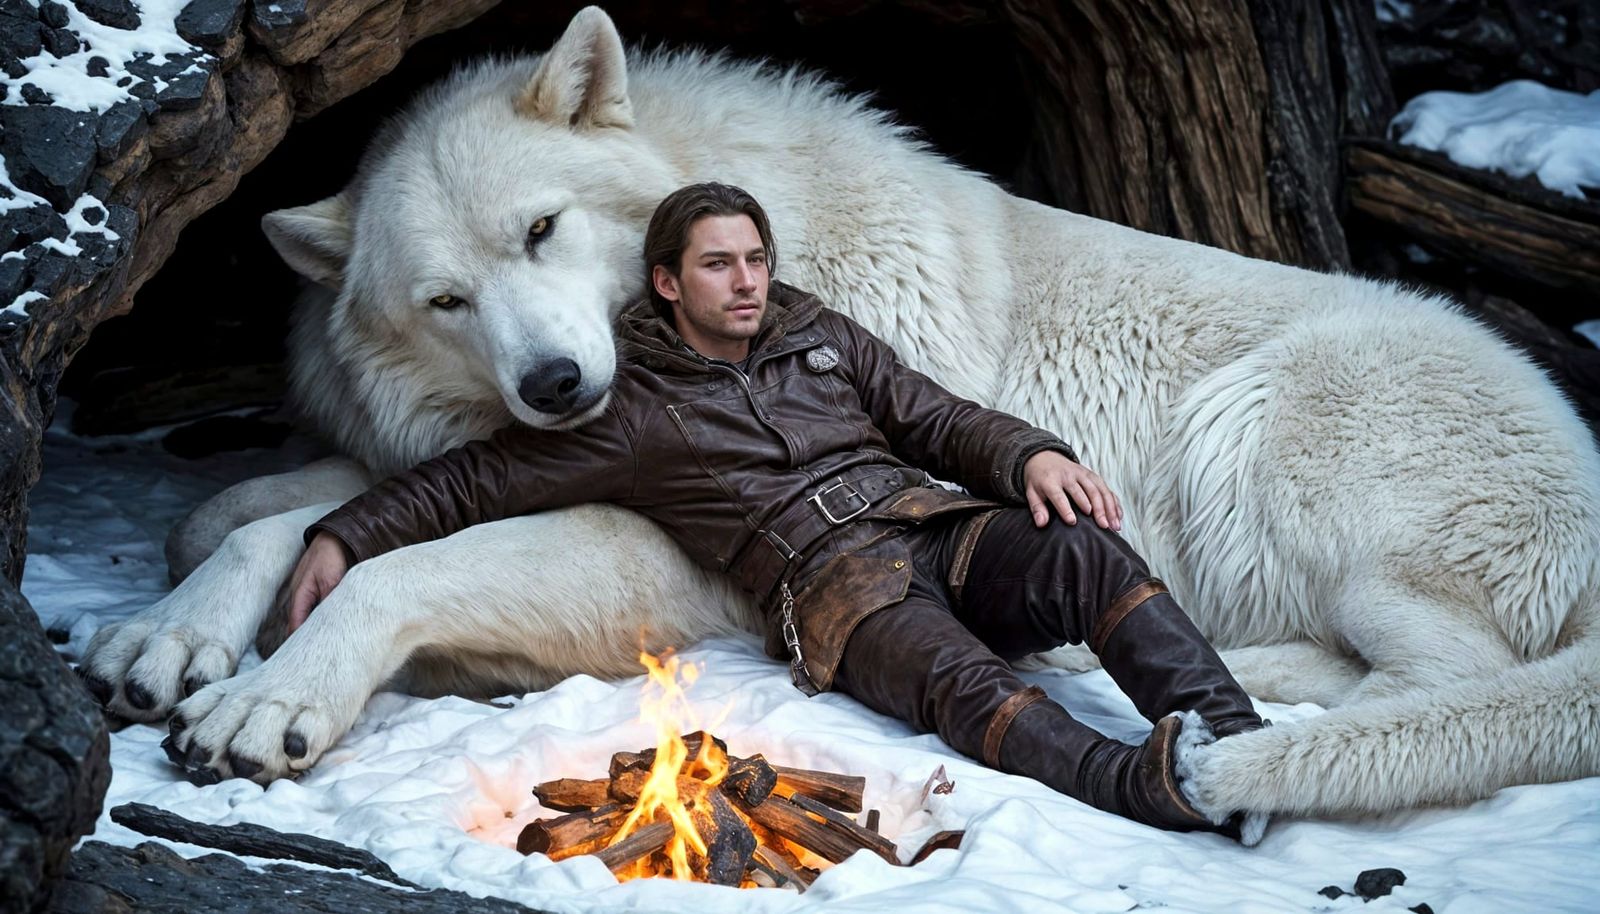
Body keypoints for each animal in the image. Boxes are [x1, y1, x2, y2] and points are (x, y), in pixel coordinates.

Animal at [79, 6, 1600, 823]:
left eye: (543, 228)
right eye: (447, 299)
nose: (556, 387)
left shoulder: (683, 559)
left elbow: (393, 562)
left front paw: (271, 695)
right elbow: (252, 515)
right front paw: (168, 636)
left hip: (1267, 418)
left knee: (1453, 681)